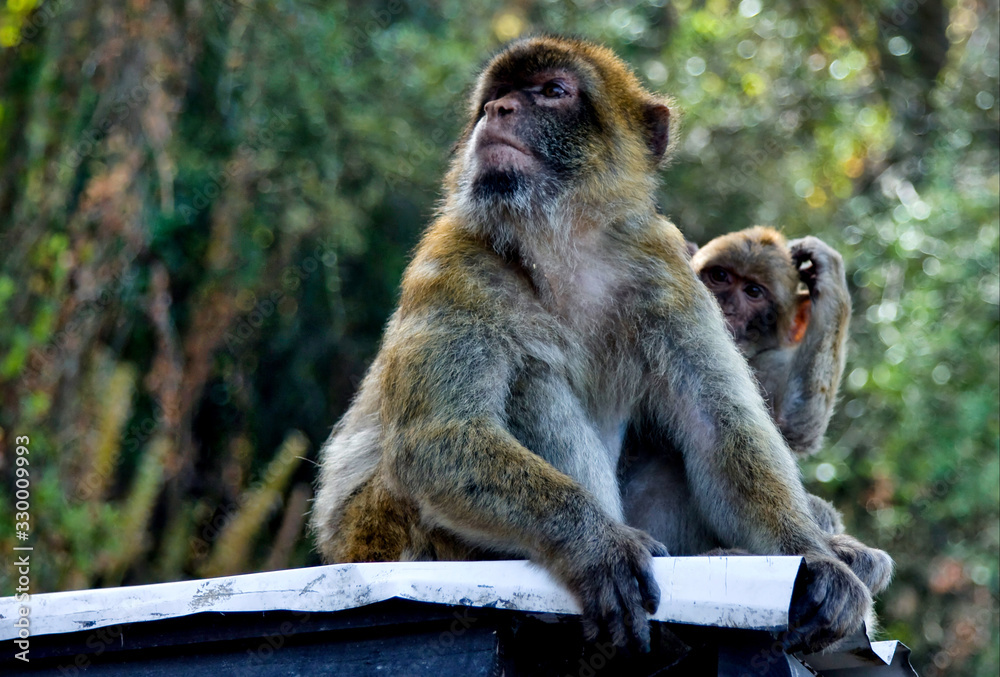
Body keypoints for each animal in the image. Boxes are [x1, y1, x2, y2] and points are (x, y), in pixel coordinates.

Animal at [311, 36, 890, 653]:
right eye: (498, 95)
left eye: (552, 91)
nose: (497, 111)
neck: (562, 244)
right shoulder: (453, 262)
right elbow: (439, 439)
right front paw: (598, 547)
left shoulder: (663, 271)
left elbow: (719, 428)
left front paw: (816, 560)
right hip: (385, 532)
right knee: (531, 380)